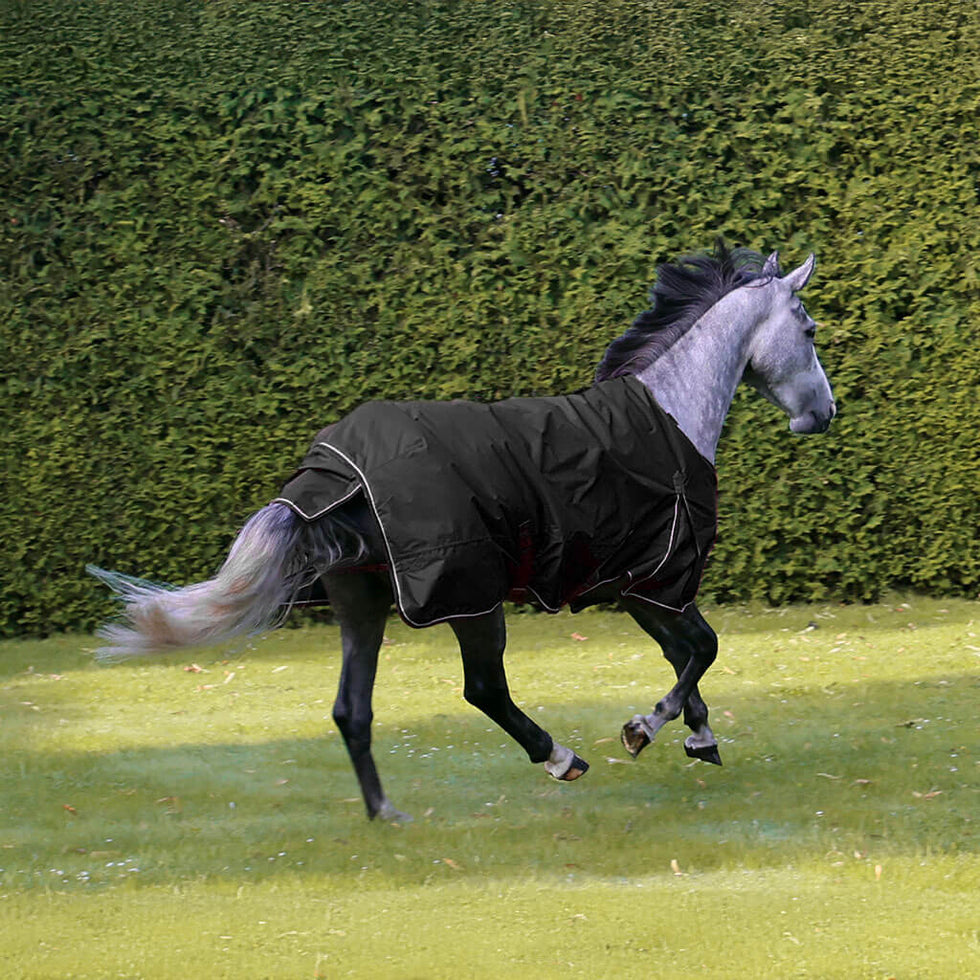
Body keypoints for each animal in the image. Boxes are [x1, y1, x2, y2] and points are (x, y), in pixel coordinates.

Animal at [89, 242, 836, 822]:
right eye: (808, 331)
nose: (824, 415)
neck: (669, 413)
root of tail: (329, 478)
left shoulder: (635, 587)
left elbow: (685, 654)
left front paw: (697, 738)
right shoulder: (652, 581)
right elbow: (700, 650)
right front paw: (643, 730)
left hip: (363, 606)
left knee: (350, 710)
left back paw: (386, 813)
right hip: (470, 600)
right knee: (483, 690)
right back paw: (560, 757)